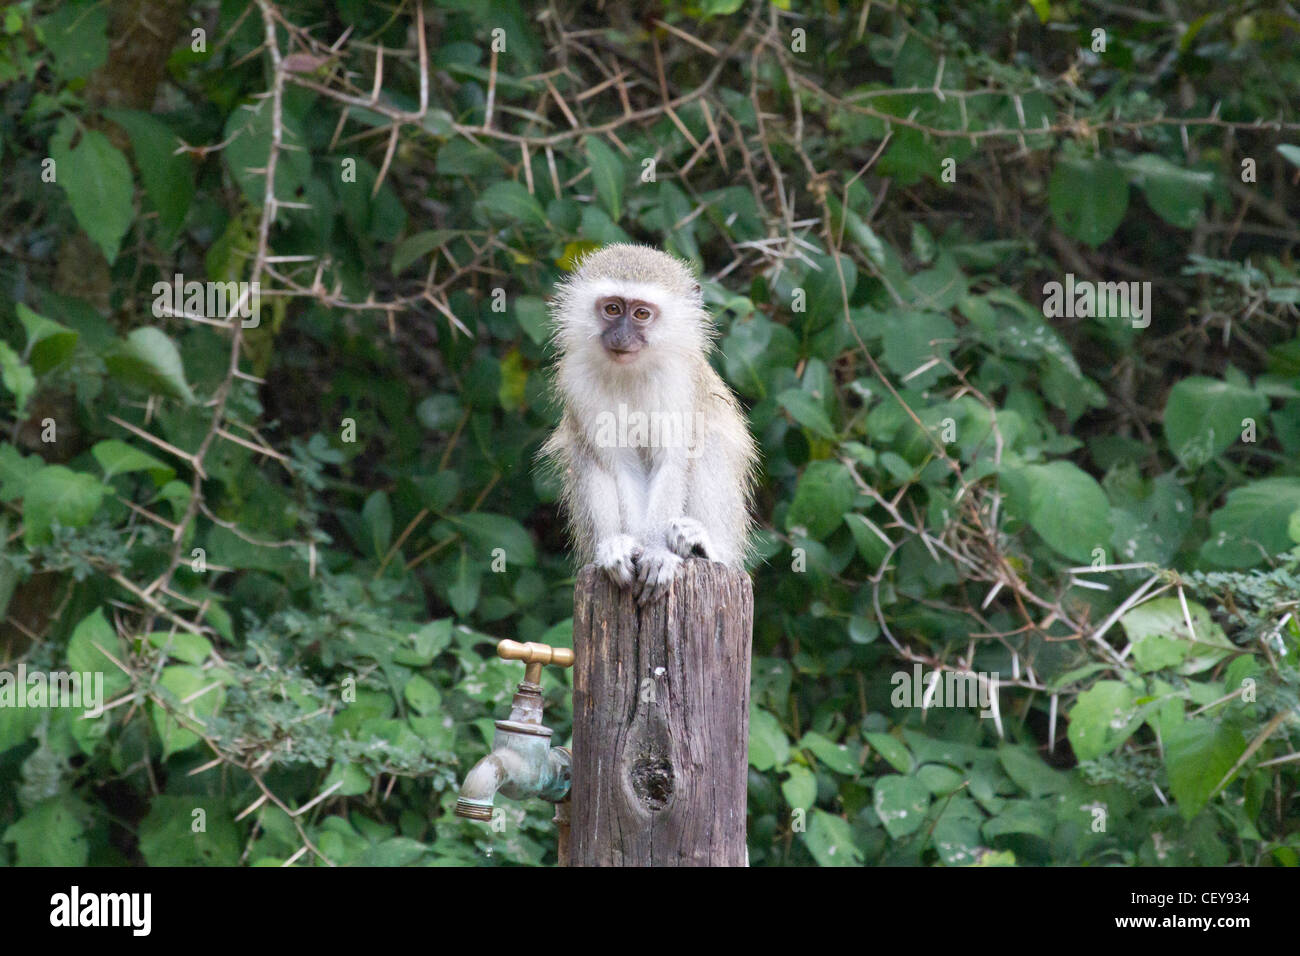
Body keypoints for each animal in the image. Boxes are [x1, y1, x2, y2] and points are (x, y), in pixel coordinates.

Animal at [540, 244, 758, 604]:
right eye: (613, 309)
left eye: (641, 314)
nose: (621, 335)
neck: (633, 370)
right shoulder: (577, 379)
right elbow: (620, 465)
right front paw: (626, 551)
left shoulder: (678, 380)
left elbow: (672, 461)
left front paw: (658, 553)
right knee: (585, 454)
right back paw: (612, 546)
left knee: (709, 442)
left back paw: (706, 548)